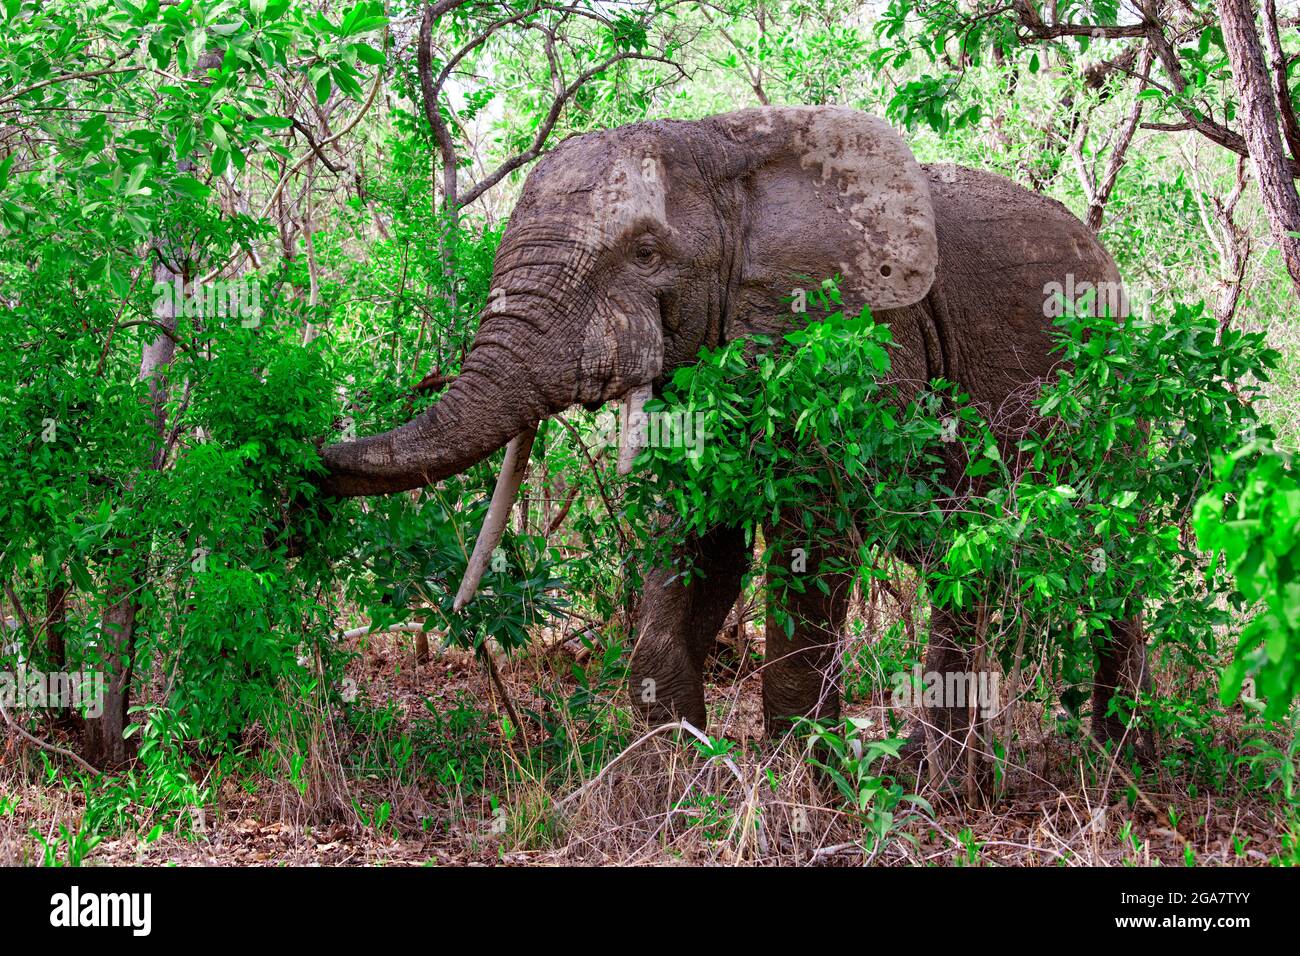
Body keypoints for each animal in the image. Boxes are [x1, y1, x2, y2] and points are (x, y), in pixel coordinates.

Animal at [319, 106, 1151, 772]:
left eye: (646, 254)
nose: (305, 452)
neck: (723, 148)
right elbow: (701, 542)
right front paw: (684, 775)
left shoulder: (853, 335)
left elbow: (813, 537)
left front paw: (806, 787)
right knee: (965, 566)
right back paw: (952, 775)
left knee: (1100, 558)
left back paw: (1103, 762)